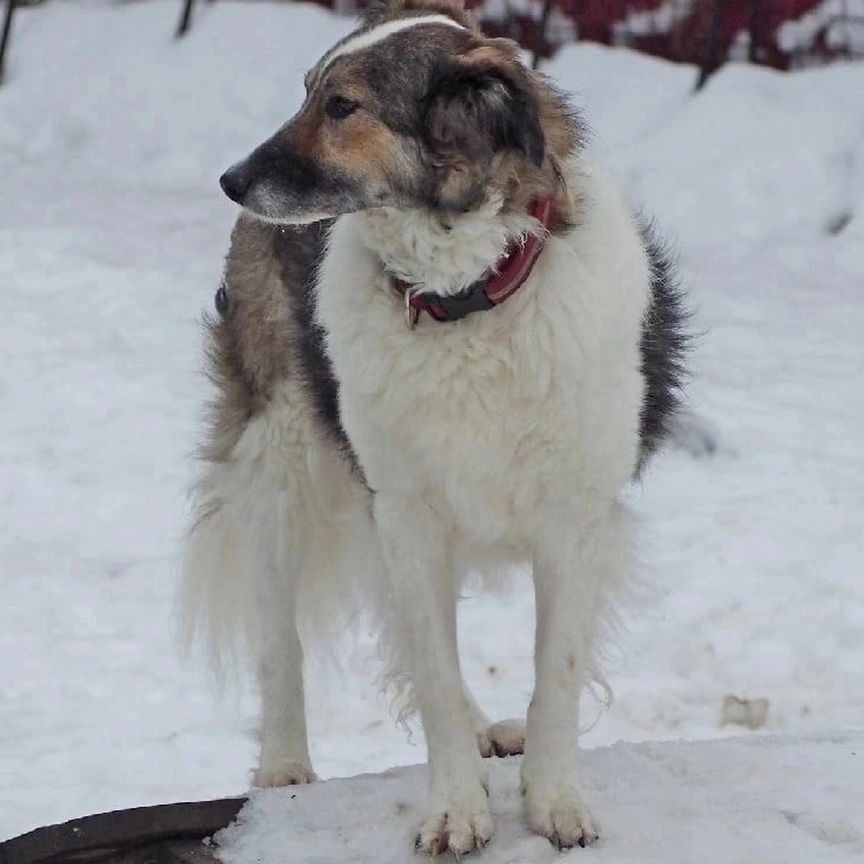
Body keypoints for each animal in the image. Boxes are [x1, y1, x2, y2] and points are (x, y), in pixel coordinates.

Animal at [182, 0, 688, 852]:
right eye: (307, 92)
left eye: (341, 107)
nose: (230, 182)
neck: (465, 298)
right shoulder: (407, 510)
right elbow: (434, 673)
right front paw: (455, 808)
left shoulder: (571, 517)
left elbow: (555, 677)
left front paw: (555, 800)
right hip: (284, 463)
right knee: (282, 637)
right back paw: (284, 765)